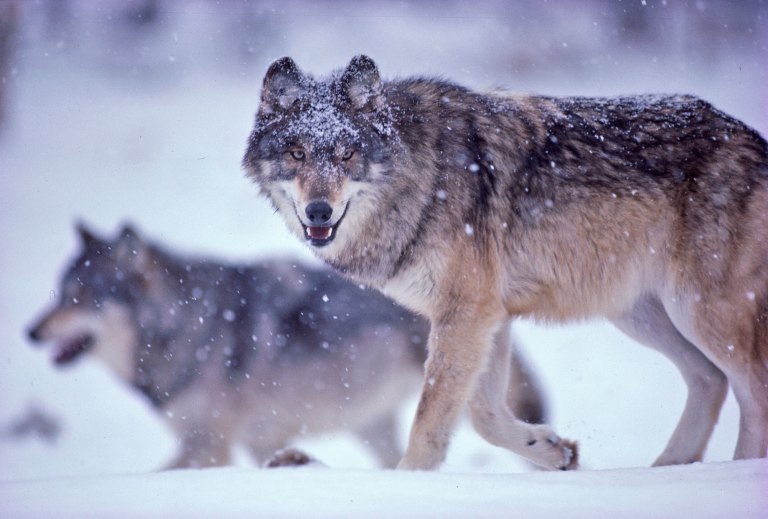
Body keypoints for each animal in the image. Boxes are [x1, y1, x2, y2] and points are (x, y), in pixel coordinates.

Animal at [27, 223, 545, 469]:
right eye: (60, 291)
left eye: (82, 297)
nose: (29, 332)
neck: (187, 324)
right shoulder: (260, 439)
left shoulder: (208, 446)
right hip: (371, 424)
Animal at [243, 55, 768, 471]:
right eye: (297, 153)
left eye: (347, 154)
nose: (318, 212)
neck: (422, 177)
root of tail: (752, 137)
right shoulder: (482, 315)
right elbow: (483, 416)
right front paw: (553, 451)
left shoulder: (468, 312)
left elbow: (431, 420)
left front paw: (408, 484)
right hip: (639, 313)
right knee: (709, 380)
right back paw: (669, 469)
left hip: (701, 312)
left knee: (752, 392)